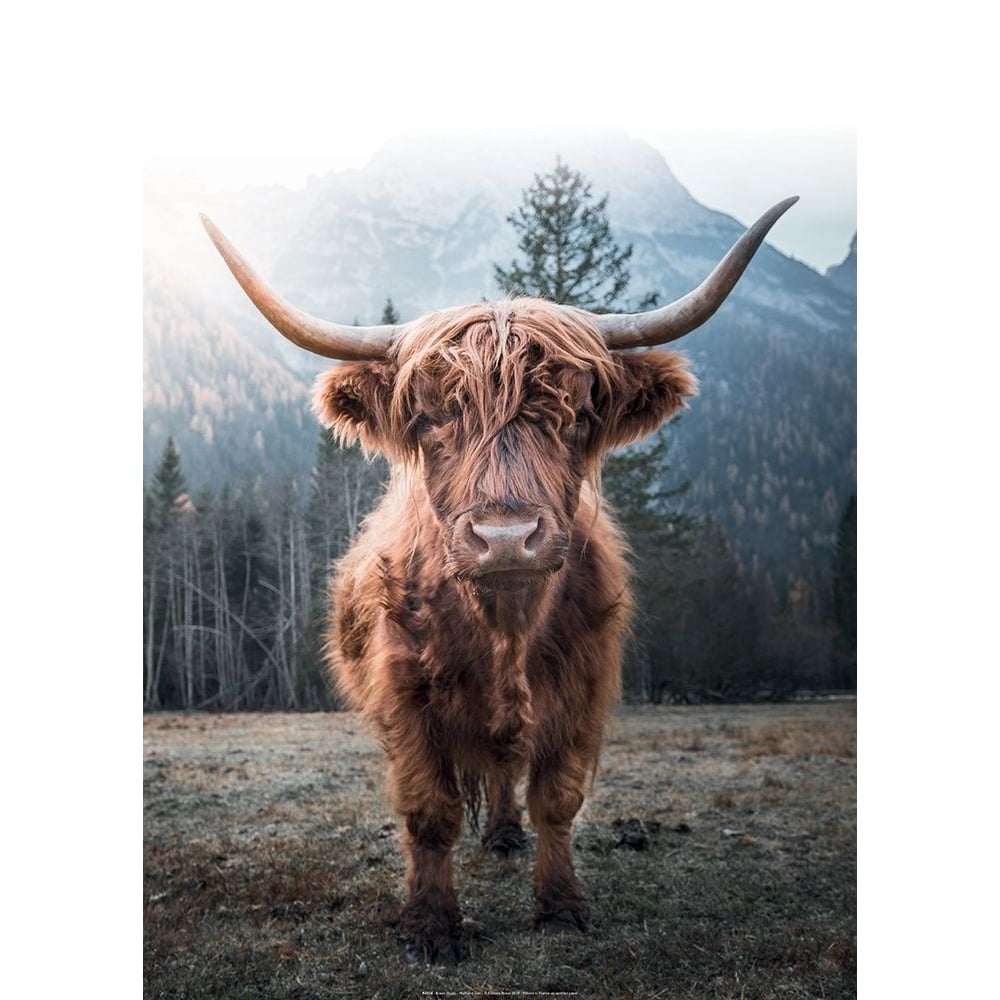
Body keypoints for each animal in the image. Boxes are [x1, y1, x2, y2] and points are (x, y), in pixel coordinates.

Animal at [201, 196, 796, 964]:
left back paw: (508, 835)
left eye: (577, 414)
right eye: (429, 417)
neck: (505, 628)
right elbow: (430, 811)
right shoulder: (405, 697)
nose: (506, 538)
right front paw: (430, 925)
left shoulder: (582, 689)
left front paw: (562, 906)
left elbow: (557, 800)